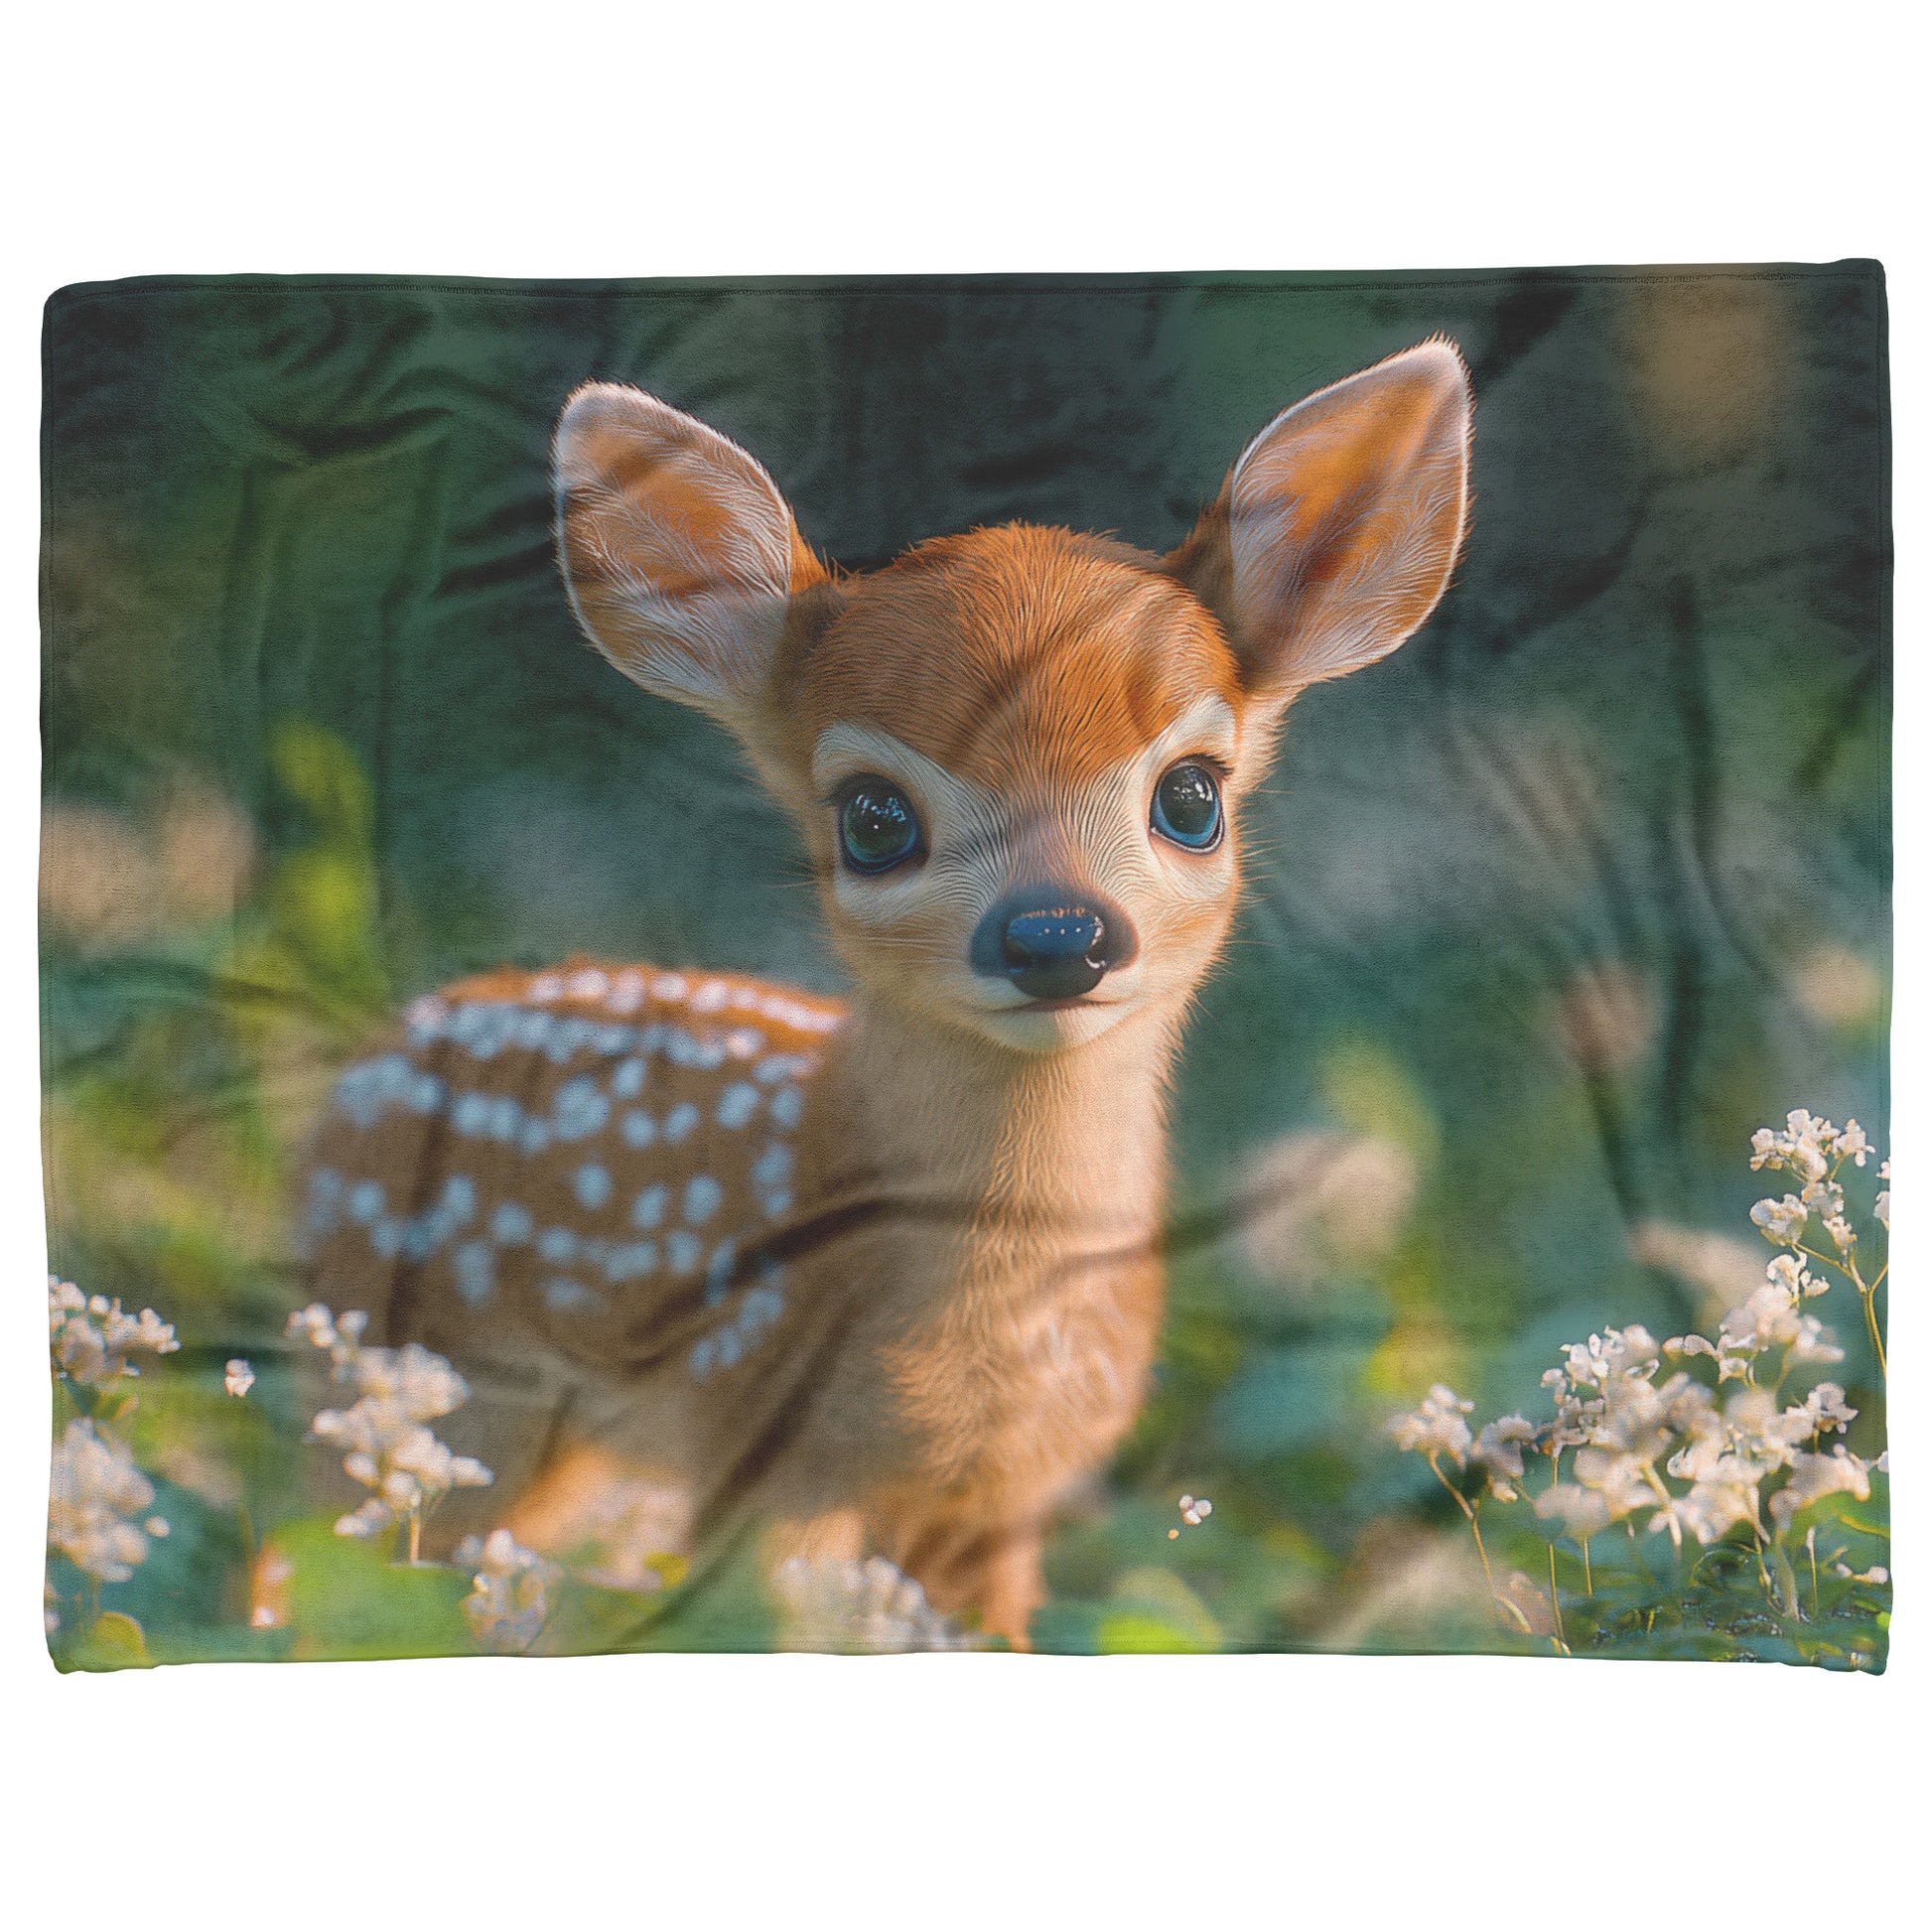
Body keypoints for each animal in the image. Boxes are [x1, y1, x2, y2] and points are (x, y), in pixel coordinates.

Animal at [299, 340, 1473, 1647]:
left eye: (1190, 794)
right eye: (873, 818)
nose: (1056, 934)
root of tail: (370, 1066)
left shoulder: (1003, 1494)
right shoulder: (761, 1437)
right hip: (429, 1364)